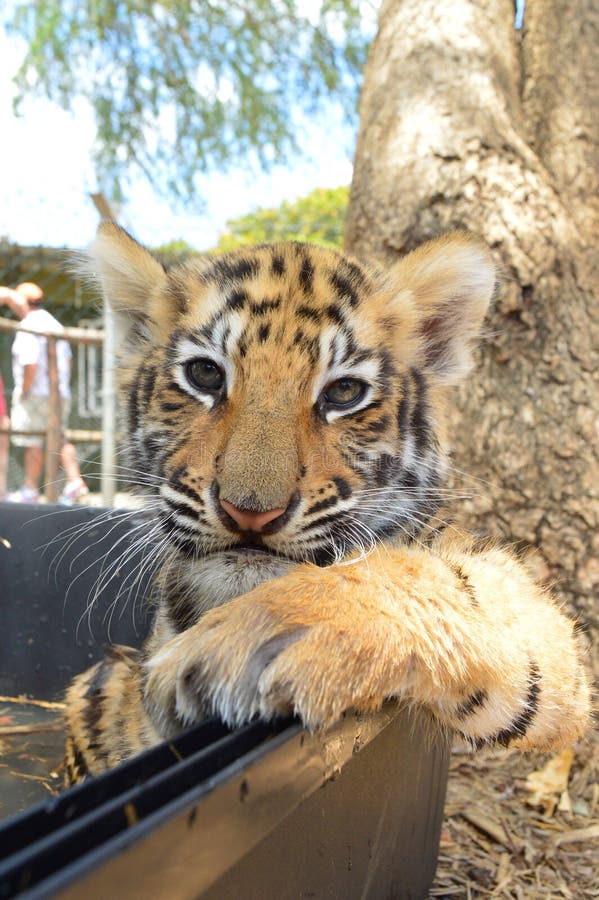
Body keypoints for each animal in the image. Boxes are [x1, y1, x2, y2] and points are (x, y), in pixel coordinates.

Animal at [64, 222, 591, 783]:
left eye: (344, 392)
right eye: (205, 375)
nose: (251, 512)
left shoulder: (544, 635)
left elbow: (433, 578)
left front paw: (270, 633)